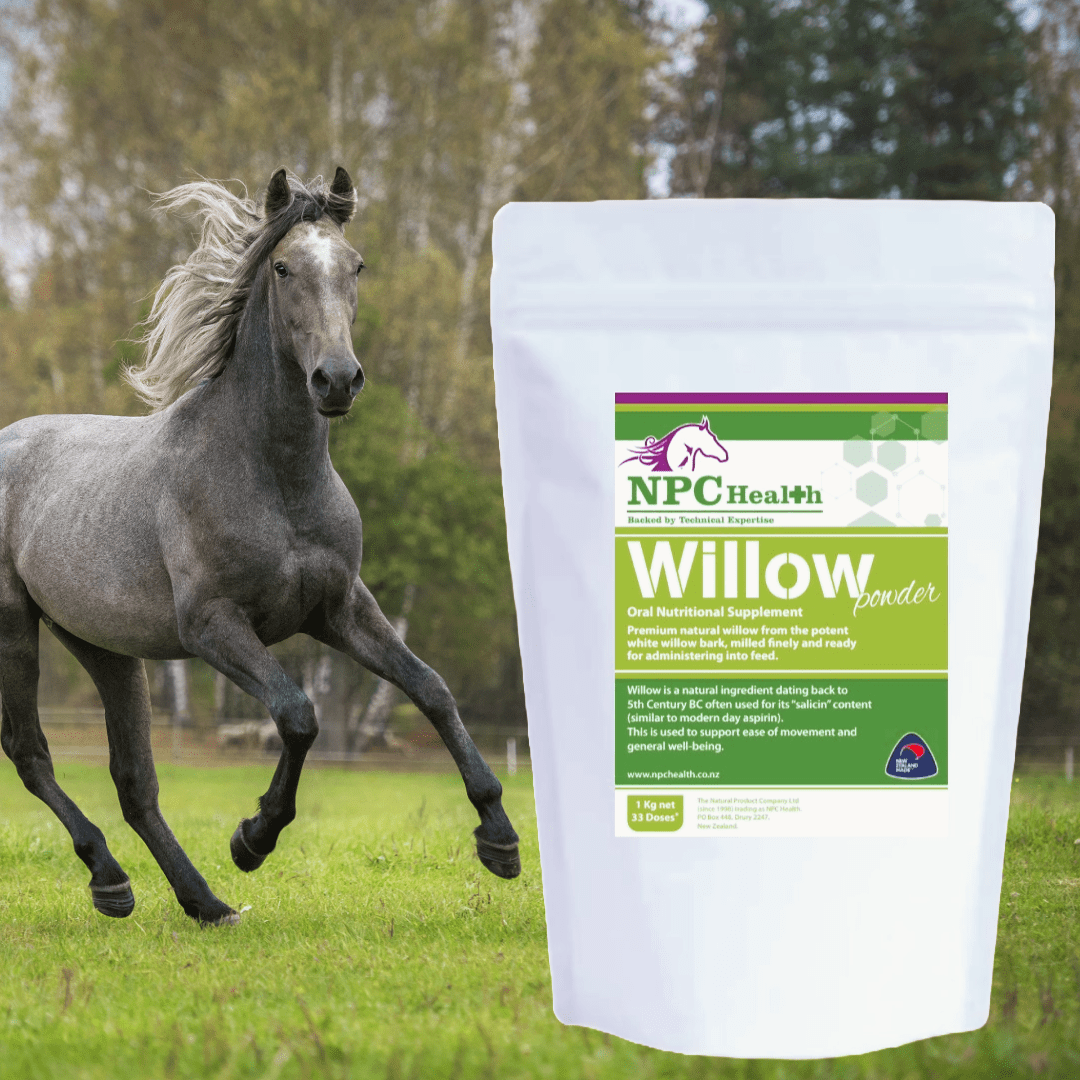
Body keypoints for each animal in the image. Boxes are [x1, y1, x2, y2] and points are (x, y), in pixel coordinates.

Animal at [0, 167, 520, 925]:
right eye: (281, 267)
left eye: (355, 265)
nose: (337, 379)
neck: (275, 478)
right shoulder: (214, 626)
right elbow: (298, 715)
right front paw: (254, 838)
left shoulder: (340, 608)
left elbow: (431, 688)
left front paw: (499, 838)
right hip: (16, 626)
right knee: (31, 752)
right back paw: (112, 877)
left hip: (103, 646)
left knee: (134, 781)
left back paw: (200, 902)